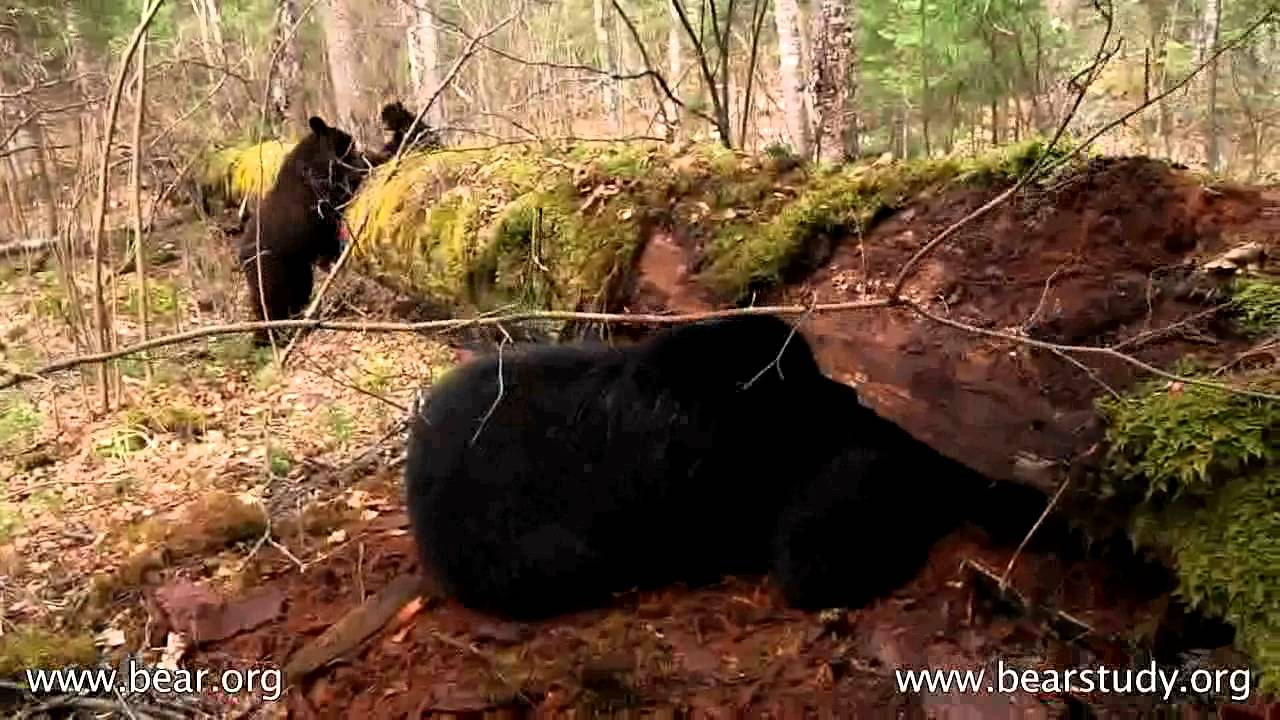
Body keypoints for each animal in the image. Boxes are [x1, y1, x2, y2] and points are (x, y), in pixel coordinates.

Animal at [238, 116, 362, 346]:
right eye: (347, 143)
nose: (356, 145)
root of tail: (242, 256)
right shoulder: (321, 187)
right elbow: (341, 189)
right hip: (273, 269)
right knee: (272, 301)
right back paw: (273, 336)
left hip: (298, 269)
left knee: (296, 293)